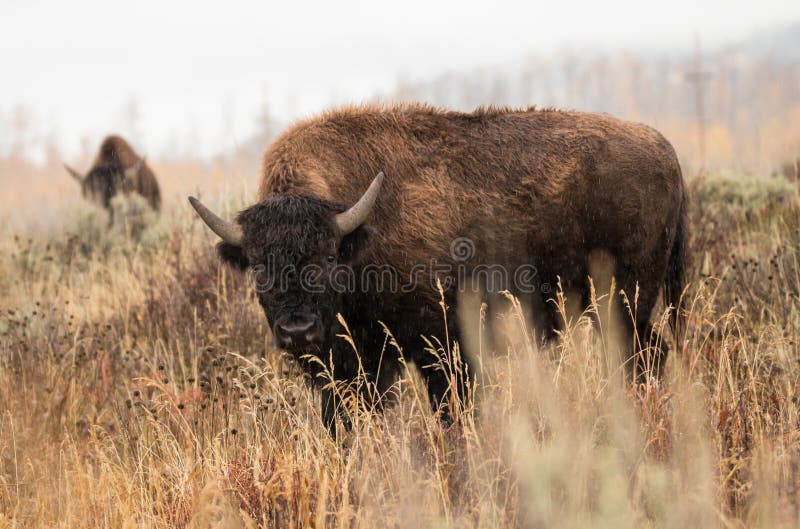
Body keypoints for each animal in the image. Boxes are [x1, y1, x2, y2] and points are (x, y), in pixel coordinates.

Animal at [189, 104, 687, 436]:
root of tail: (664, 148)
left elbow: (450, 407)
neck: (359, 232)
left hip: (624, 302)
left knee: (642, 355)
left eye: (329, 257)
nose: (298, 329)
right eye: (257, 266)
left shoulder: (443, 350)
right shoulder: (353, 365)